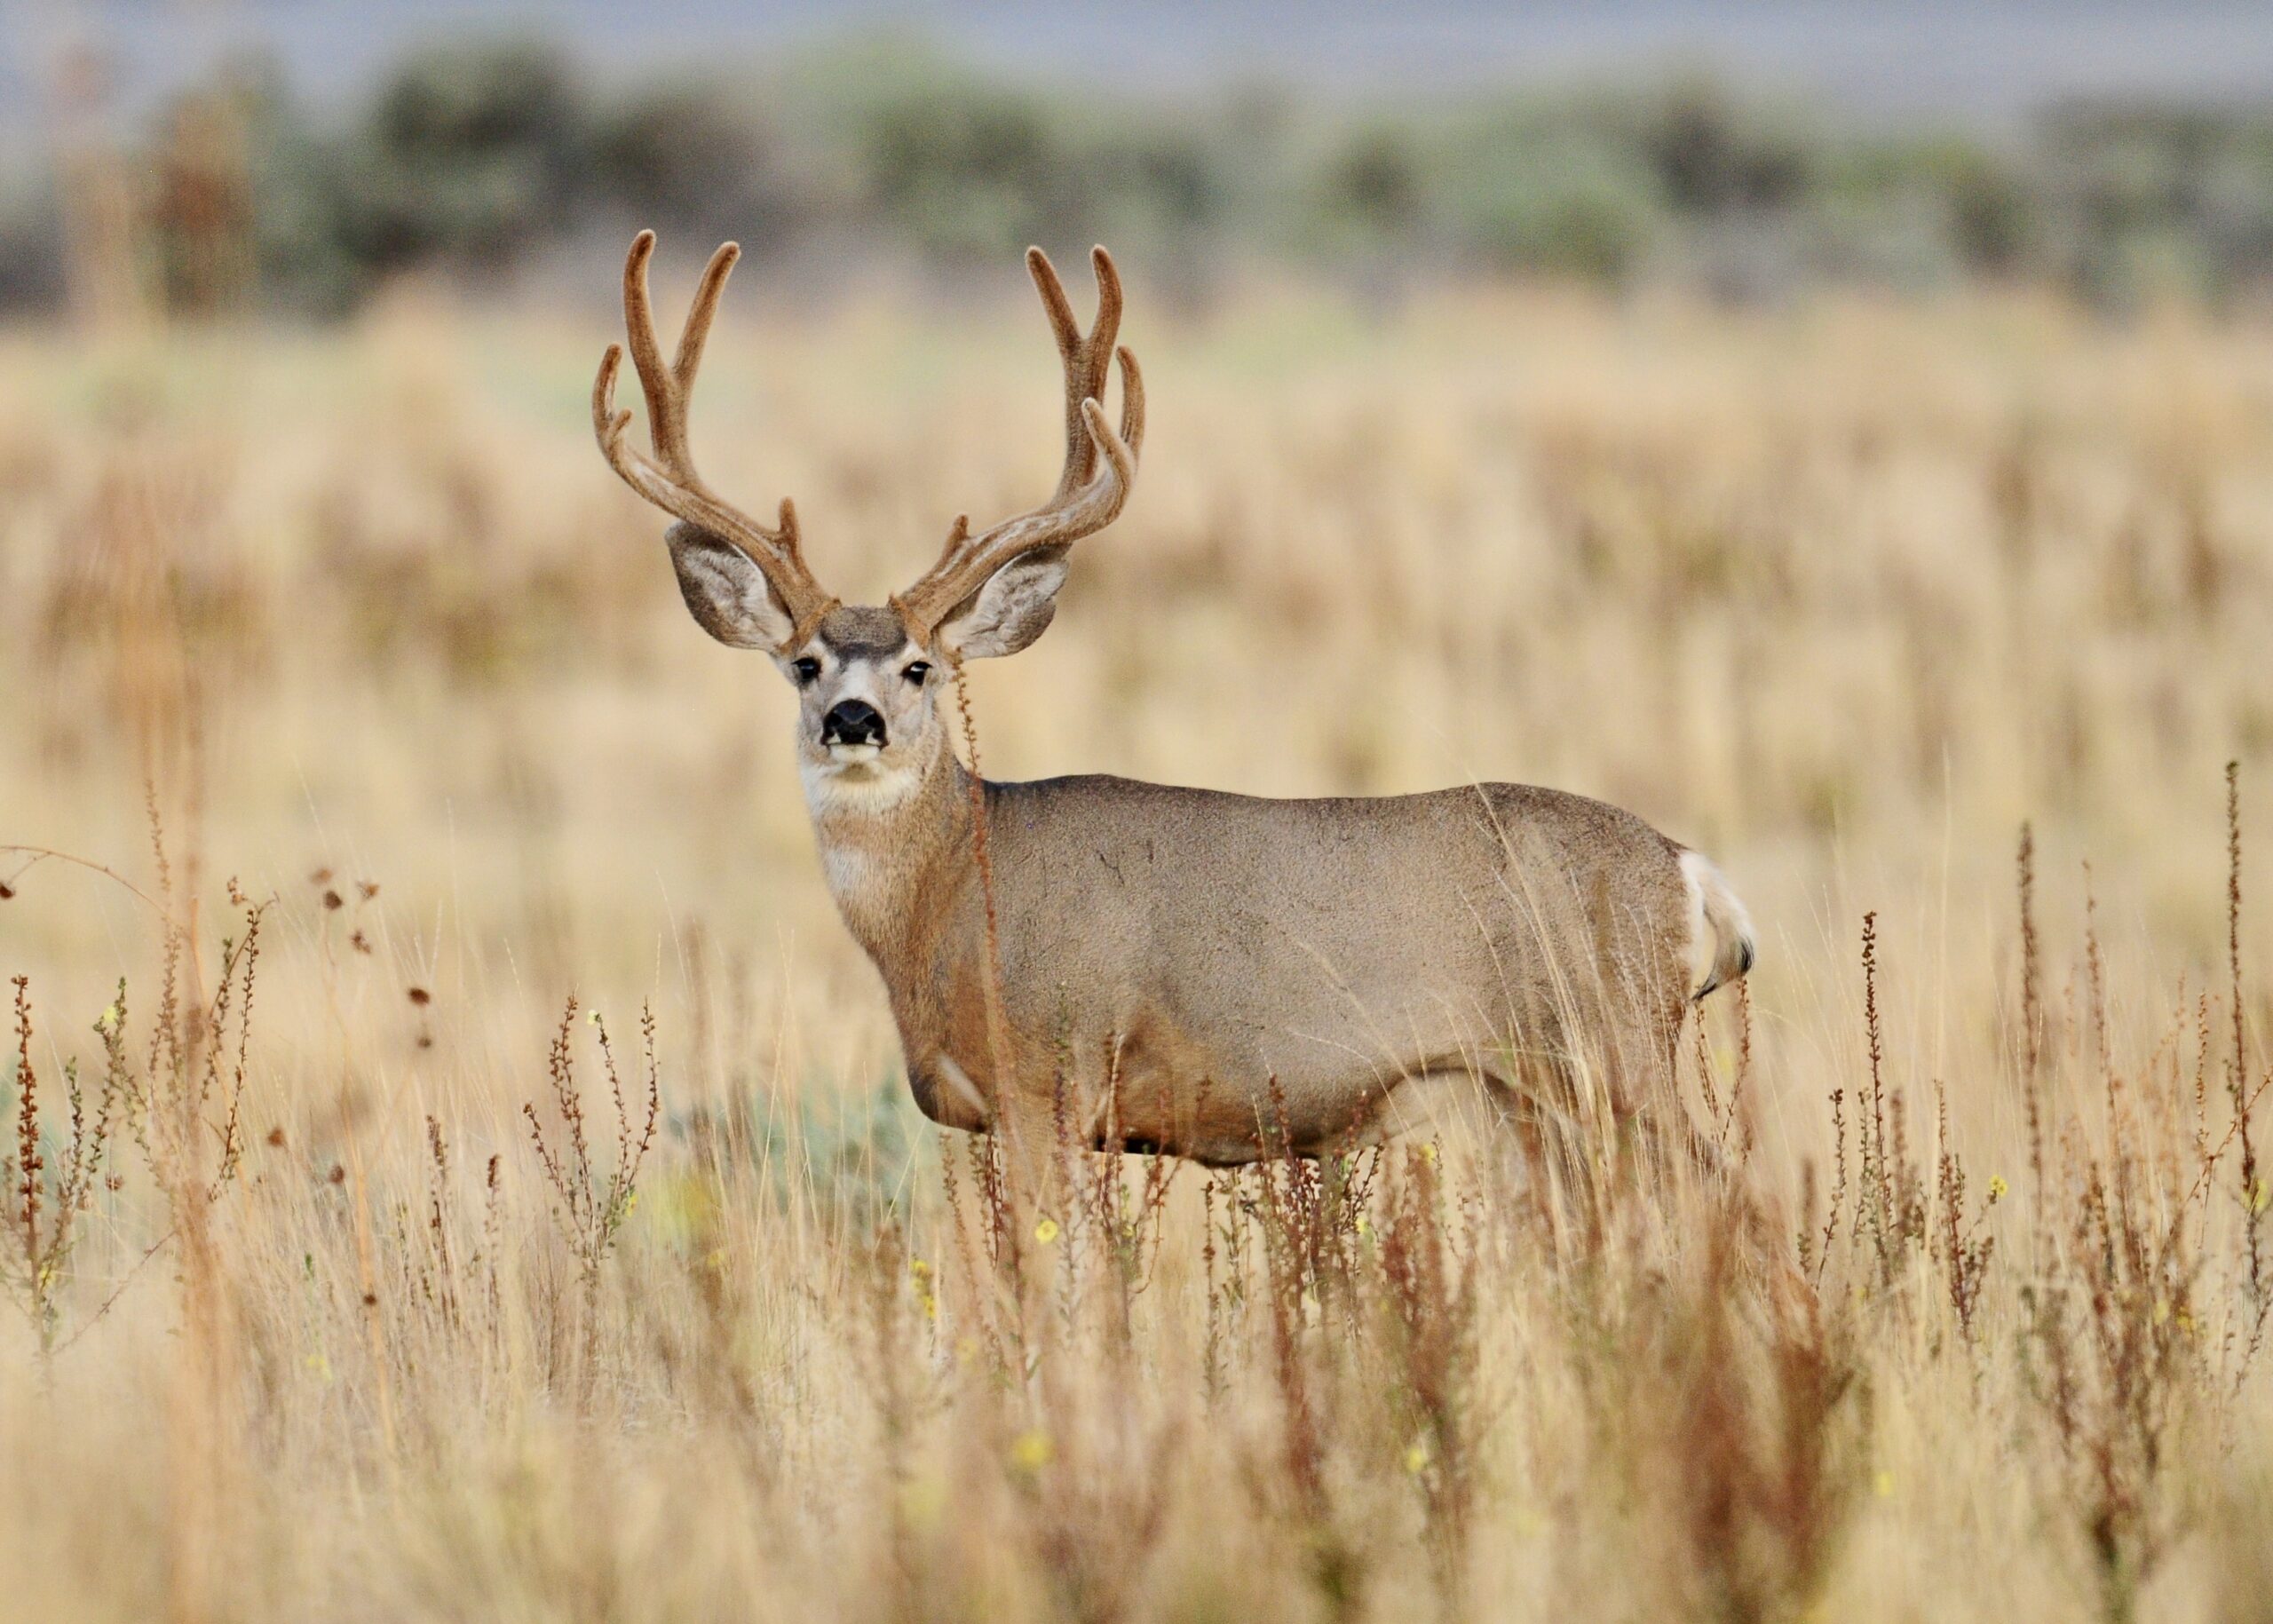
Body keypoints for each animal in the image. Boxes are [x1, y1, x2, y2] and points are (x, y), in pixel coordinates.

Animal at [592, 229, 1756, 1186]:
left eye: (919, 665)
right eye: (803, 662)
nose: (851, 720)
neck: (951, 893)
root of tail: (1687, 869)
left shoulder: (1051, 1077)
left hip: (1611, 1045)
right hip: (1530, 1099)